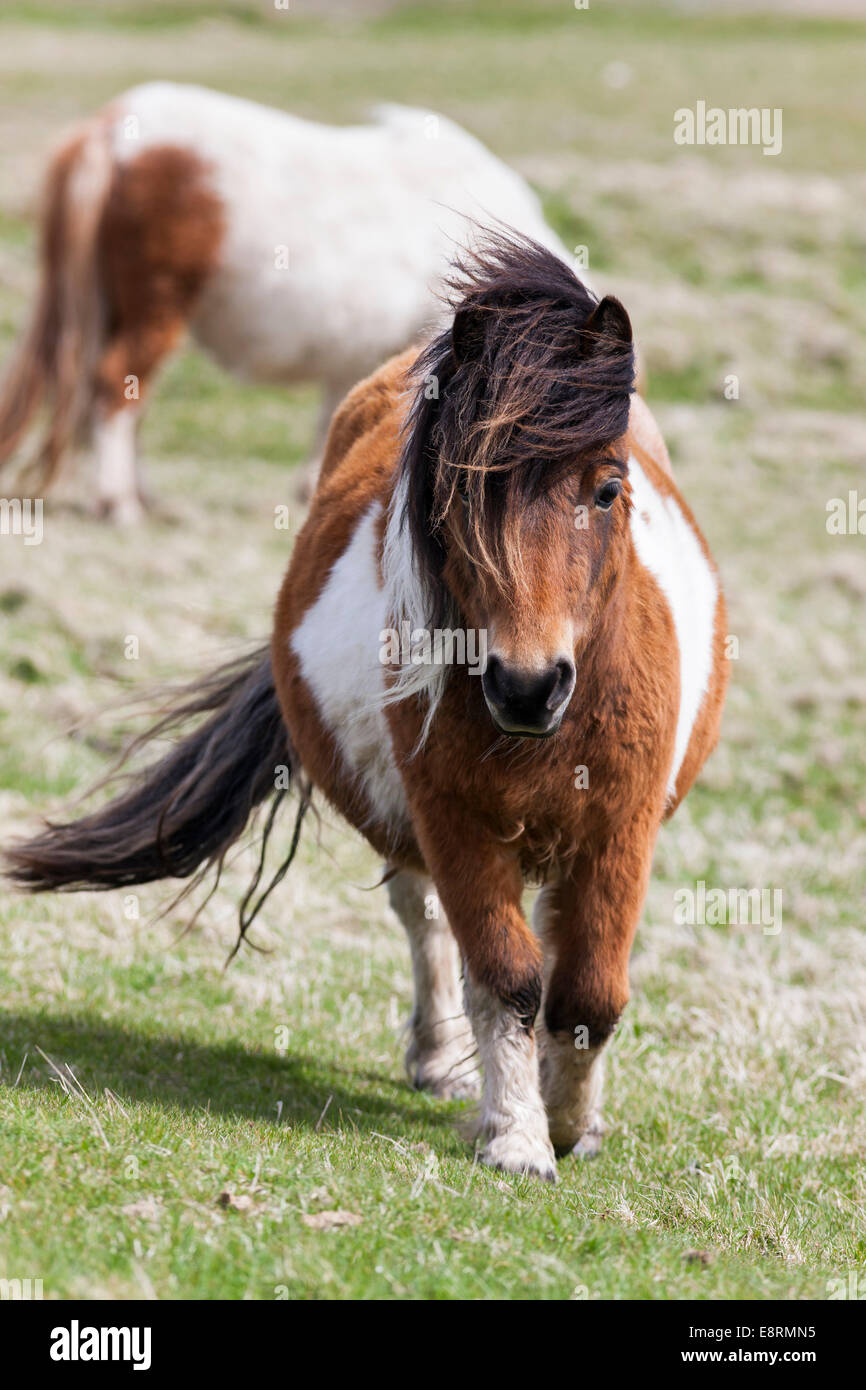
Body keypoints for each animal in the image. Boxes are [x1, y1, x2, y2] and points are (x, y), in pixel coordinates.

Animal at [5, 233, 728, 1180]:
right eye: (461, 496)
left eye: (606, 490)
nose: (527, 686)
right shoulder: (455, 823)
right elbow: (507, 977)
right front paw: (519, 1135)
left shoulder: (619, 831)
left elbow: (588, 995)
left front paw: (572, 1123)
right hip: (408, 827)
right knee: (428, 925)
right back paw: (441, 1061)